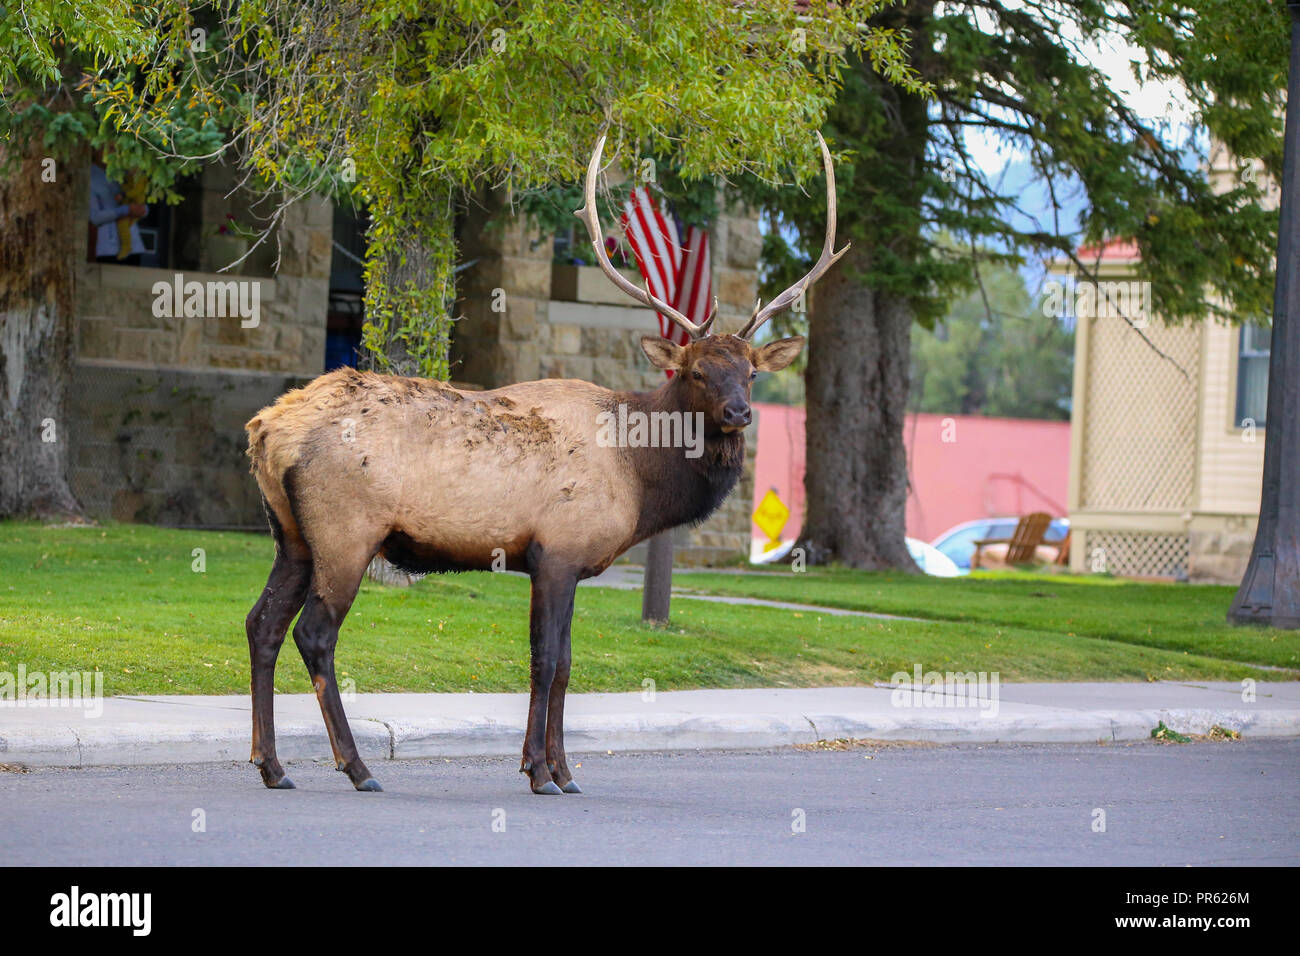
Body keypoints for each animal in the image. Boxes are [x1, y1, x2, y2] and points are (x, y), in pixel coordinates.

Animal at [242, 132, 848, 795]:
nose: (739, 412)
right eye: (695, 371)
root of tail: (267, 428)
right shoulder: (556, 552)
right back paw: (357, 768)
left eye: (752, 371)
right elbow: (547, 659)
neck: (642, 478)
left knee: (261, 624)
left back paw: (272, 766)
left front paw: (561, 770)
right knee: (313, 633)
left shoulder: (568, 562)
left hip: (291, 534)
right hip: (346, 530)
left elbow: (566, 664)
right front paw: (539, 771)